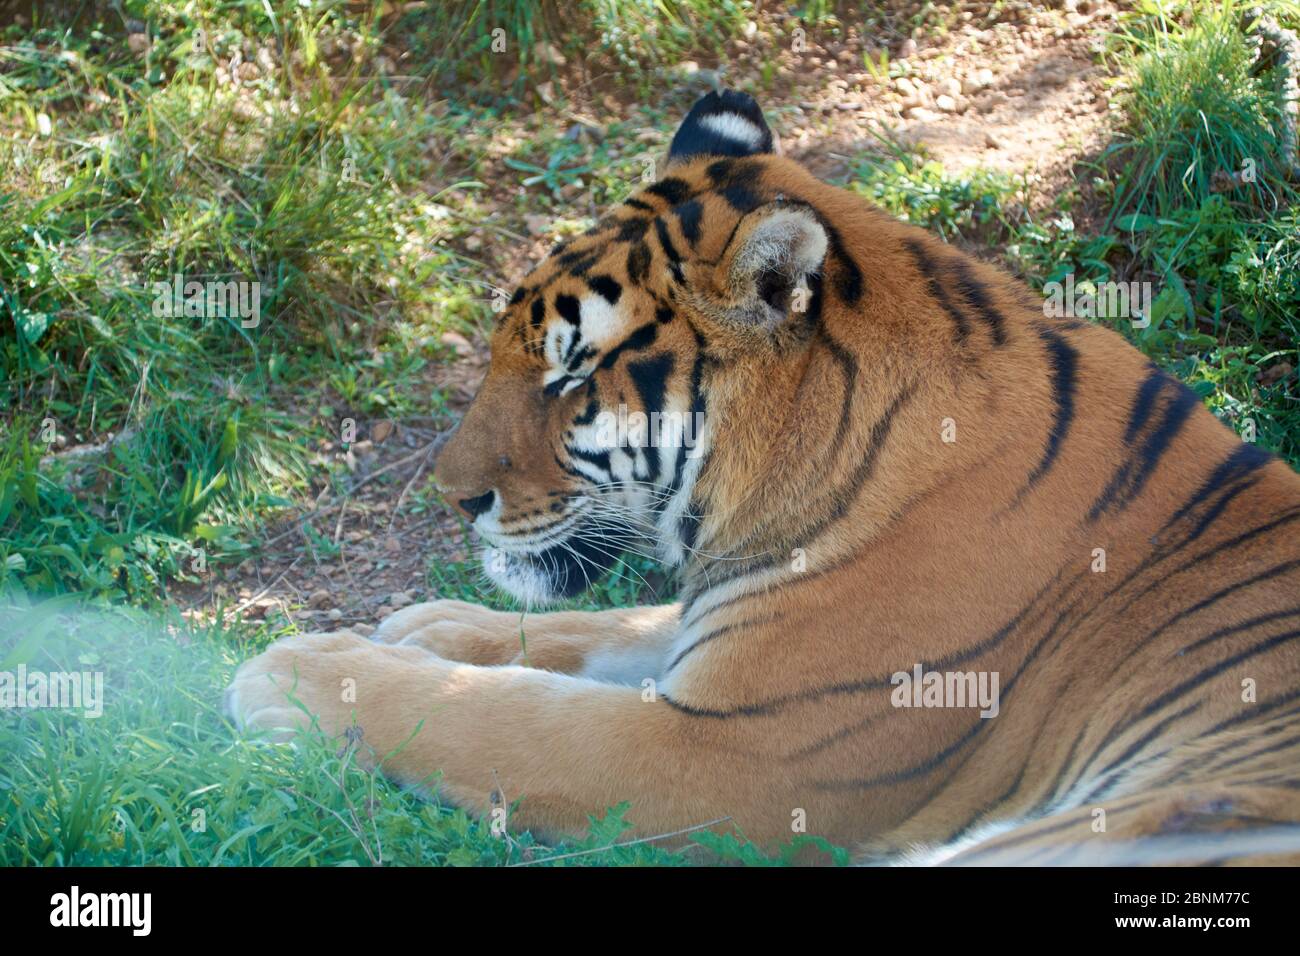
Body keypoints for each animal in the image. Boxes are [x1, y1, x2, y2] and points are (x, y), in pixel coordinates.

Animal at [225, 90, 1300, 865]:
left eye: (570, 374)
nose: (453, 498)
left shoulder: (725, 753)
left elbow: (494, 719)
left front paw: (301, 669)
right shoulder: (717, 639)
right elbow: (595, 630)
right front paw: (430, 627)